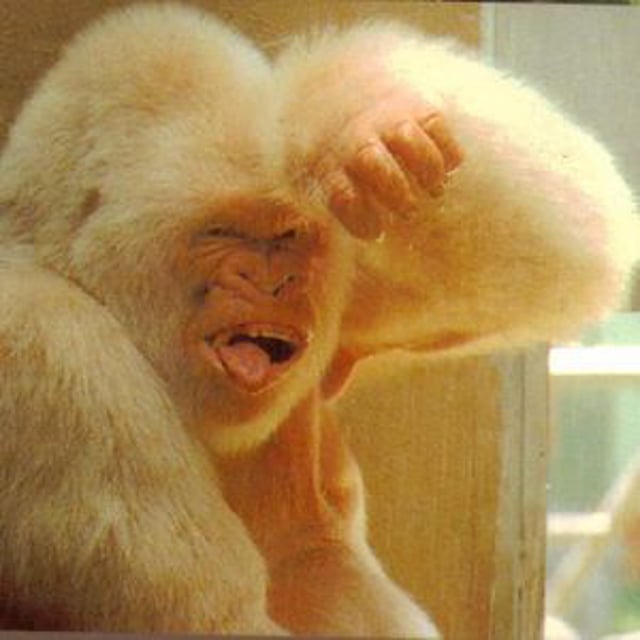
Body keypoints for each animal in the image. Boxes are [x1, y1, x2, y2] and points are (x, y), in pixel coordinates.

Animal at [0, 3, 637, 636]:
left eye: (289, 234)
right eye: (219, 232)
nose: (274, 283)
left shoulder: (343, 275)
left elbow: (570, 240)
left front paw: (360, 115)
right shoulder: (56, 349)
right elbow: (224, 622)